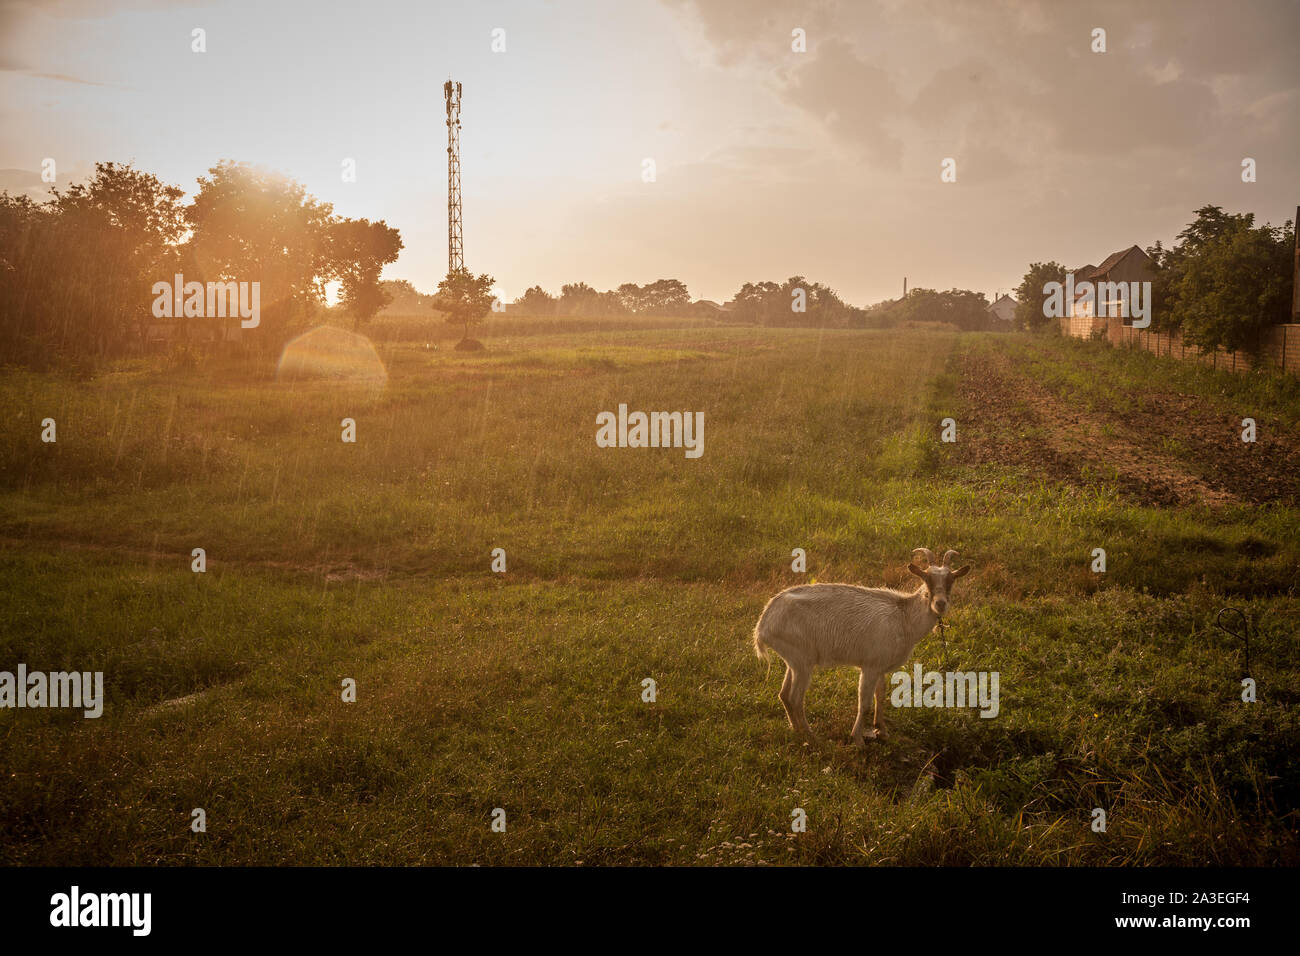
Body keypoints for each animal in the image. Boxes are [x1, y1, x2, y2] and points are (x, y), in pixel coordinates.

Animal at [752, 548, 971, 745]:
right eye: (926, 578)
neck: (905, 618)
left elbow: (880, 696)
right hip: (802, 660)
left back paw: (797, 730)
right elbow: (864, 703)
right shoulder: (870, 666)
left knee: (784, 695)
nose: (940, 604)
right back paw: (812, 737)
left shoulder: (881, 666)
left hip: (793, 659)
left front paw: (882, 731)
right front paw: (858, 739)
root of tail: (763, 625)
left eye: (952, 580)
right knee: (795, 698)